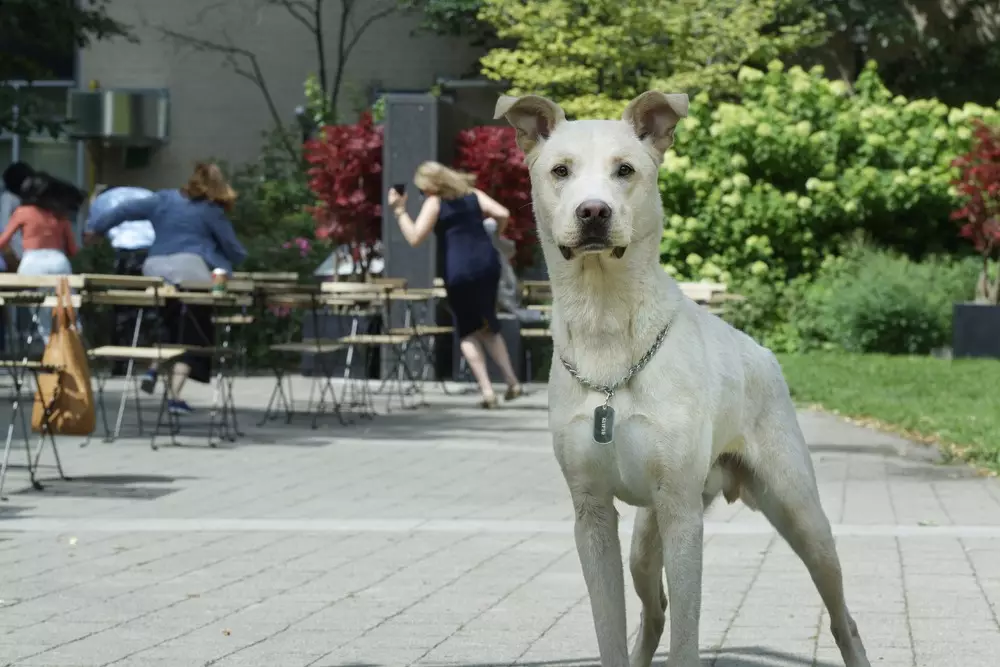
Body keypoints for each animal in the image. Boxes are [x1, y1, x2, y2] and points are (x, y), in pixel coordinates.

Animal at [496, 92, 872, 667]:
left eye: (625, 170)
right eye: (560, 171)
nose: (594, 212)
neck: (608, 325)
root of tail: (763, 353)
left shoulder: (681, 513)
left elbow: (688, 635)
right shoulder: (593, 516)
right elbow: (611, 629)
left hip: (801, 514)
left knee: (841, 615)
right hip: (643, 543)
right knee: (654, 612)